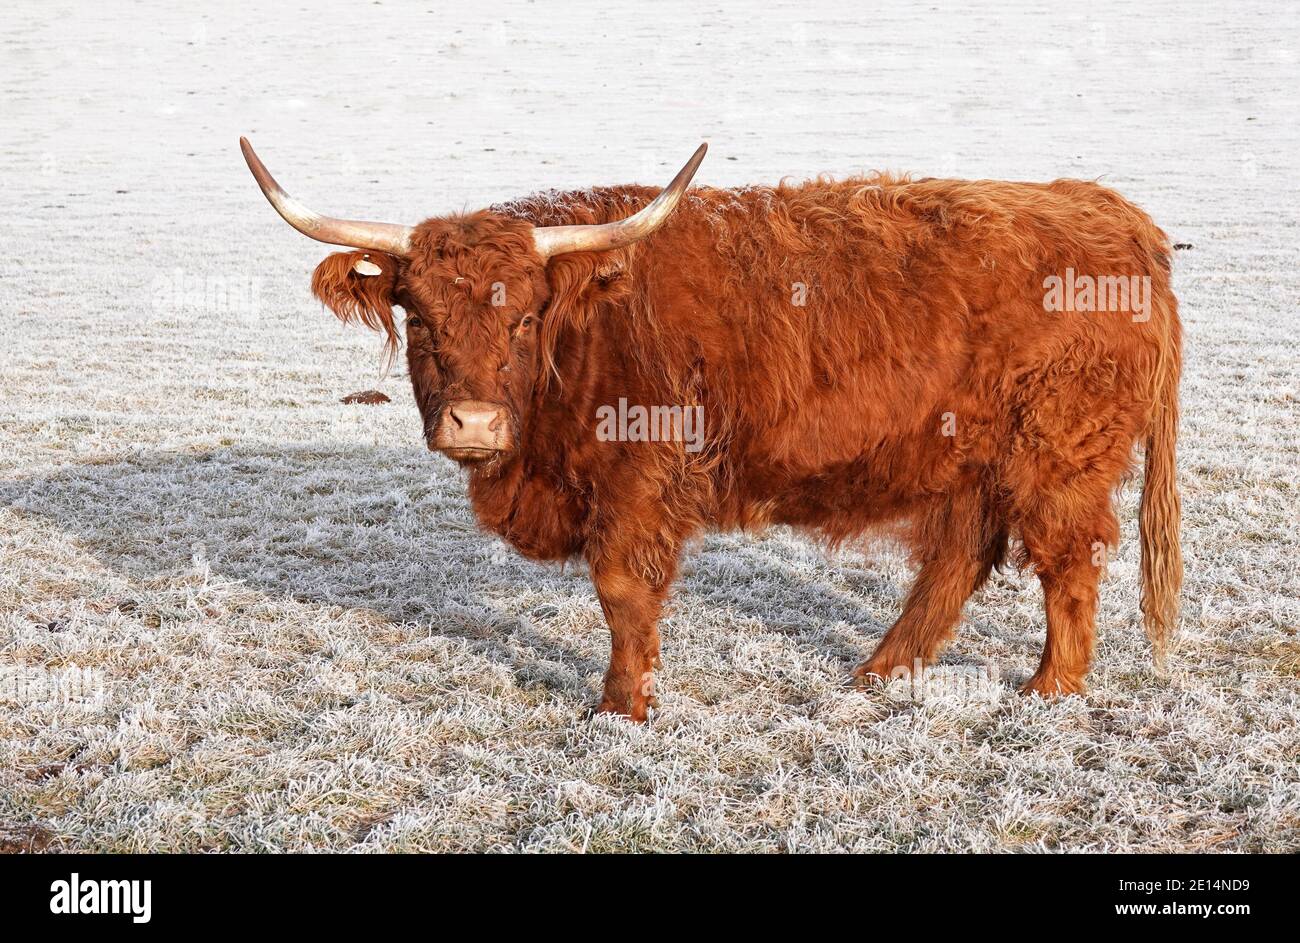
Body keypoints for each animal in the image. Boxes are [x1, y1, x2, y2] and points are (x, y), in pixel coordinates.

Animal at [241, 137, 1182, 721]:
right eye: (421, 316)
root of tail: (1110, 213)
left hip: (1057, 457)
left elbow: (622, 589)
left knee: (1067, 562)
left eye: (525, 318)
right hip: (971, 459)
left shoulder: (638, 477)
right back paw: (877, 671)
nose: (474, 421)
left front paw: (621, 706)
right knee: (956, 561)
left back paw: (1050, 687)